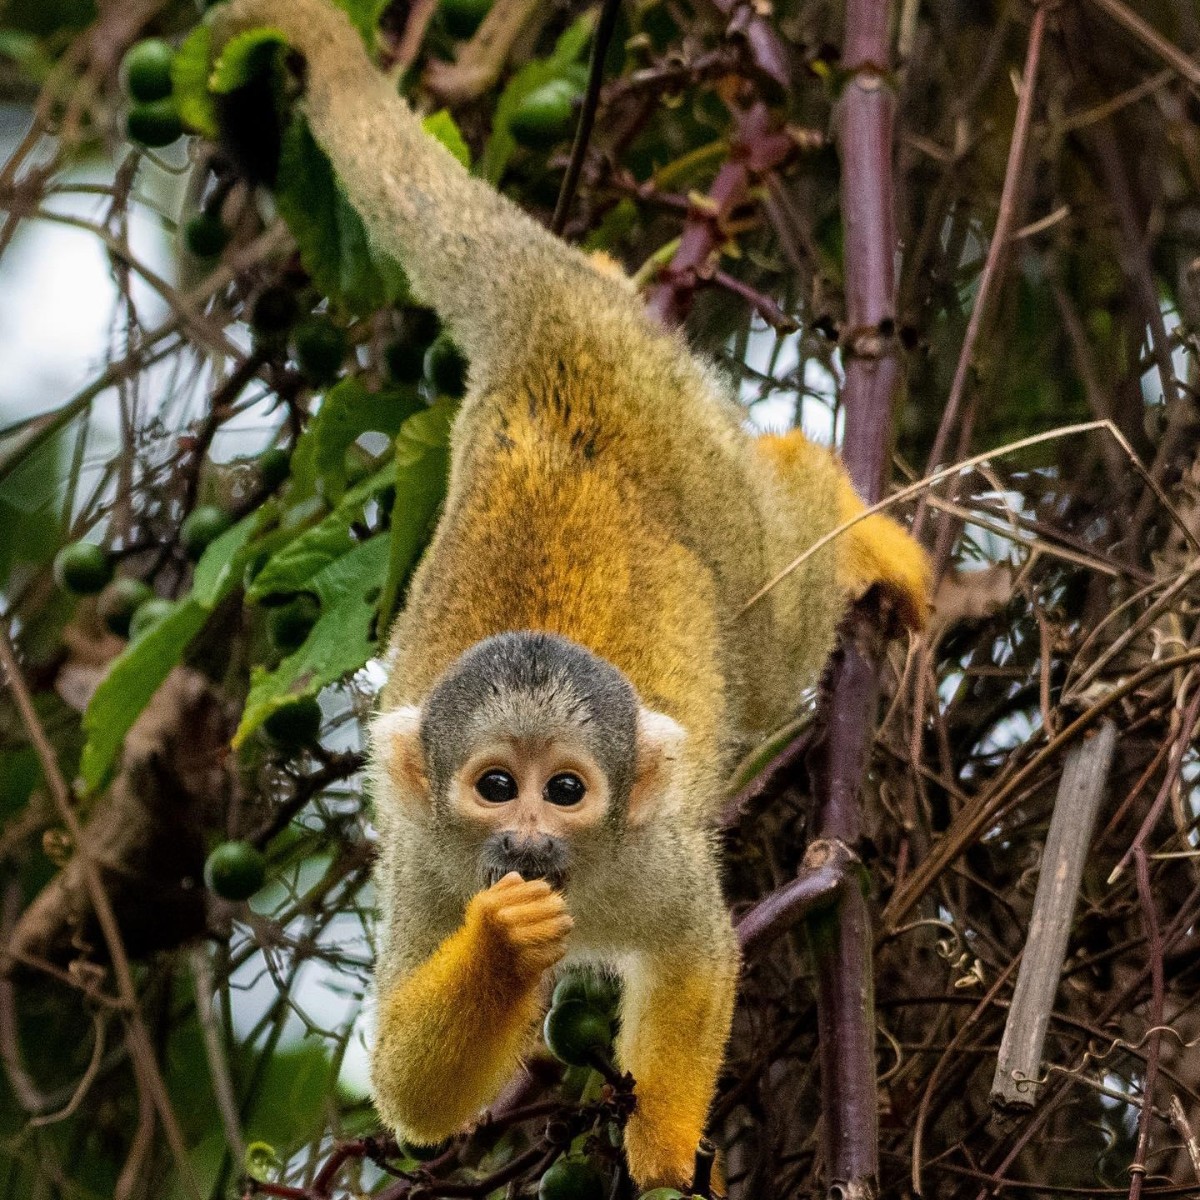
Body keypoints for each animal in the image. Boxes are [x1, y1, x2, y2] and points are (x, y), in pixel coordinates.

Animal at [214, 0, 931, 1188]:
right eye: (497, 787)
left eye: (566, 791)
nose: (529, 843)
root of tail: (550, 325)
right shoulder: (430, 860)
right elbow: (411, 1087)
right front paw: (505, 945)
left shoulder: (651, 853)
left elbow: (697, 955)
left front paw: (664, 1162)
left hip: (692, 447)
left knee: (771, 646)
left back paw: (830, 499)